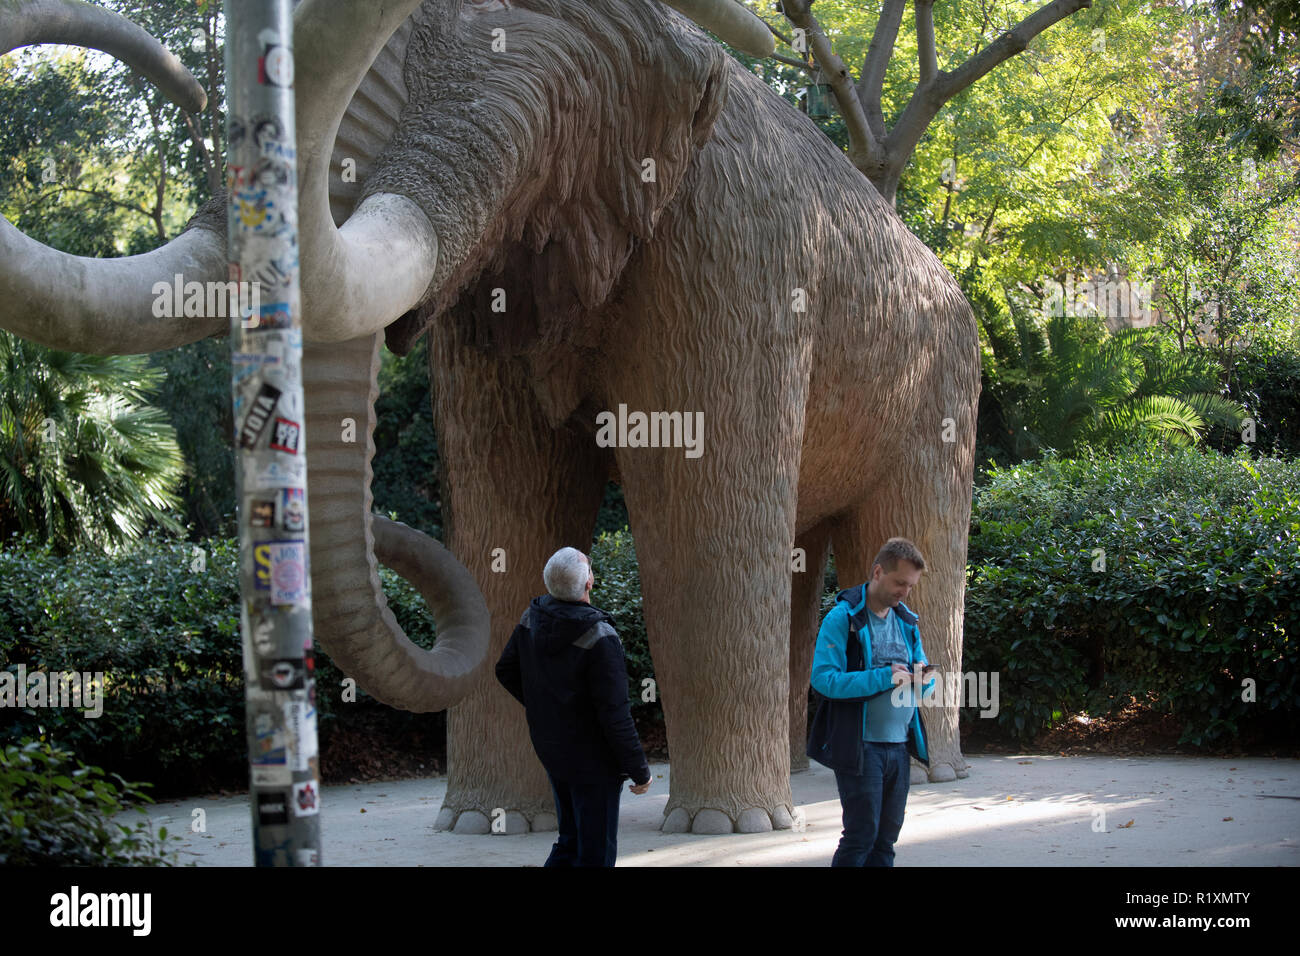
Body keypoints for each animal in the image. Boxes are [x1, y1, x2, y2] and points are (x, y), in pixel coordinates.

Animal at [0, 0, 980, 835]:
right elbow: (507, 495)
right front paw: (485, 824)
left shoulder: (737, 247)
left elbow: (700, 515)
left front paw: (721, 829)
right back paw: (807, 776)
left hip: (945, 389)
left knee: (907, 539)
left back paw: (931, 776)